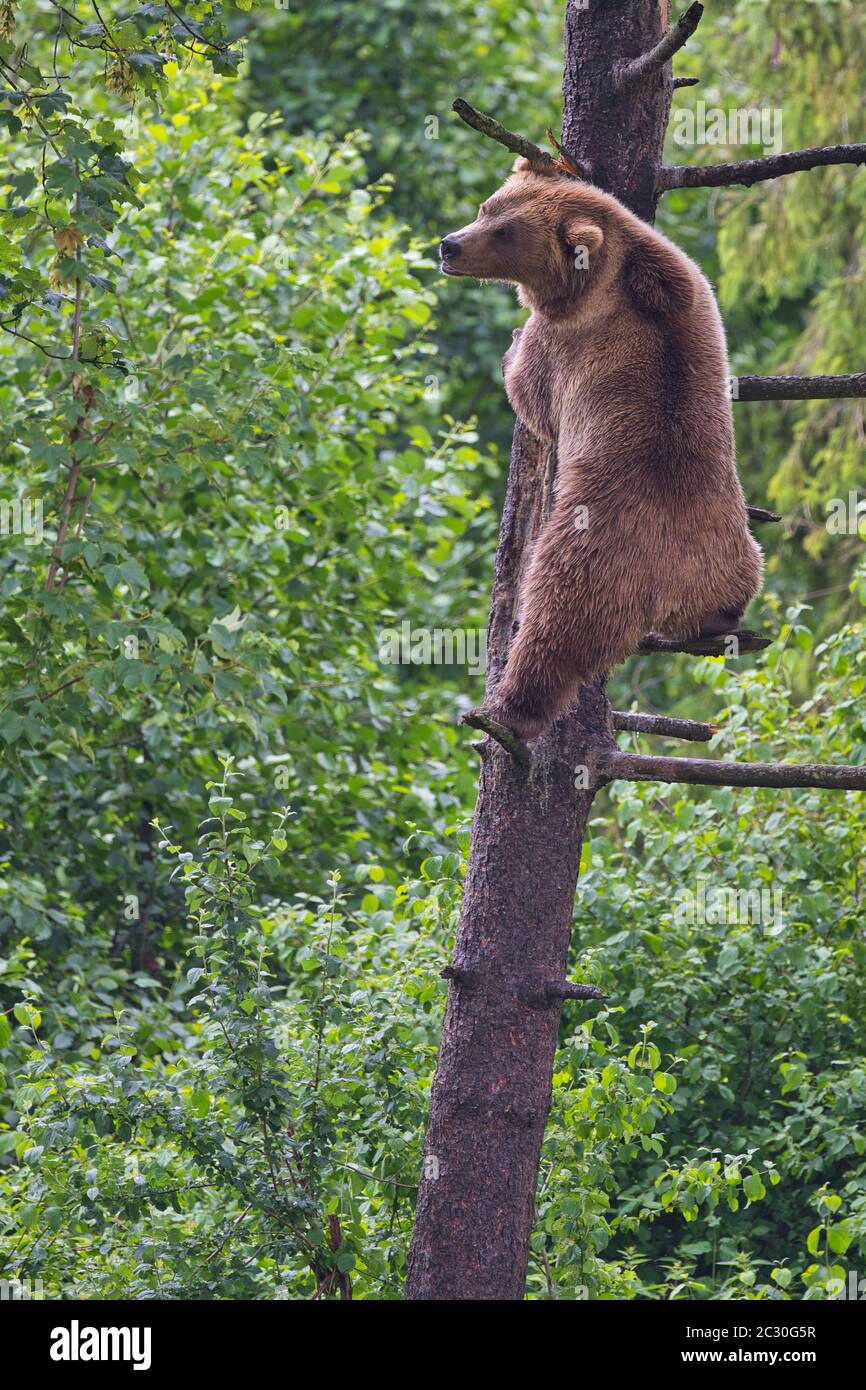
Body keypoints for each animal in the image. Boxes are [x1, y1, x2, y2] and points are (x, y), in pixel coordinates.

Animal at [439, 157, 763, 741]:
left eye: (505, 232)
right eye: (486, 206)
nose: (449, 246)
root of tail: (675, 588)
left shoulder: (565, 343)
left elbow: (531, 392)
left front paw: (511, 345)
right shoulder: (694, 284)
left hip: (588, 557)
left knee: (553, 630)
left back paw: (502, 714)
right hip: (735, 546)